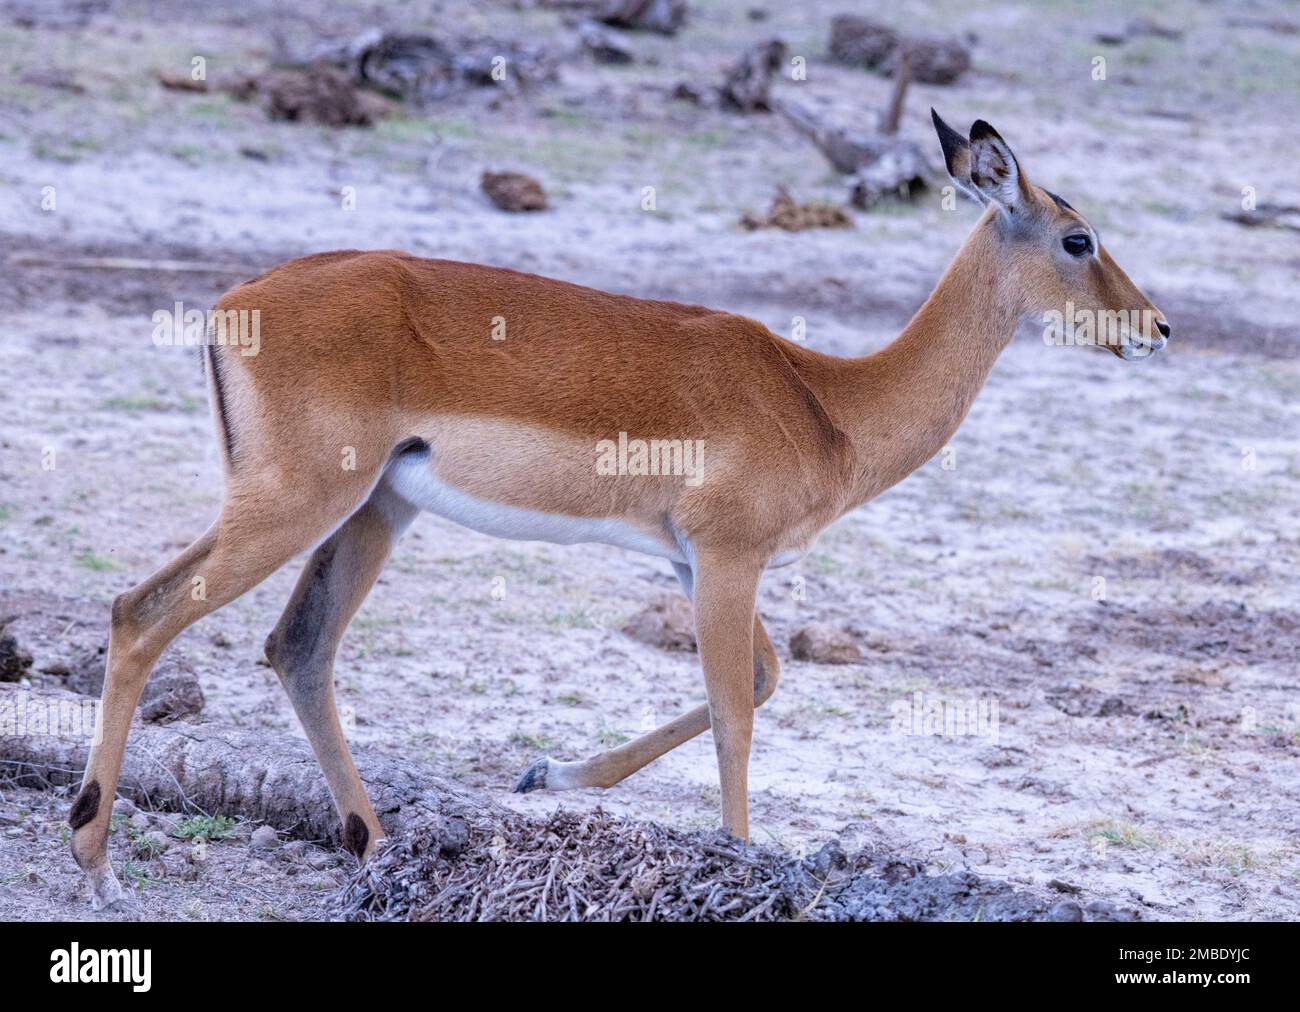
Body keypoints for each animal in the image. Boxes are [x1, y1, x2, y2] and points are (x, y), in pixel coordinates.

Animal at [70, 111, 1170, 908]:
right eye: (1078, 237)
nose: (1156, 327)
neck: (827, 402)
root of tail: (236, 302)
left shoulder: (694, 561)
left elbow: (760, 680)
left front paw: (545, 774)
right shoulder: (726, 558)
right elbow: (736, 709)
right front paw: (736, 859)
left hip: (373, 512)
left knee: (296, 645)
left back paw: (380, 851)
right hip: (296, 502)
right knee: (141, 611)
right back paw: (97, 862)